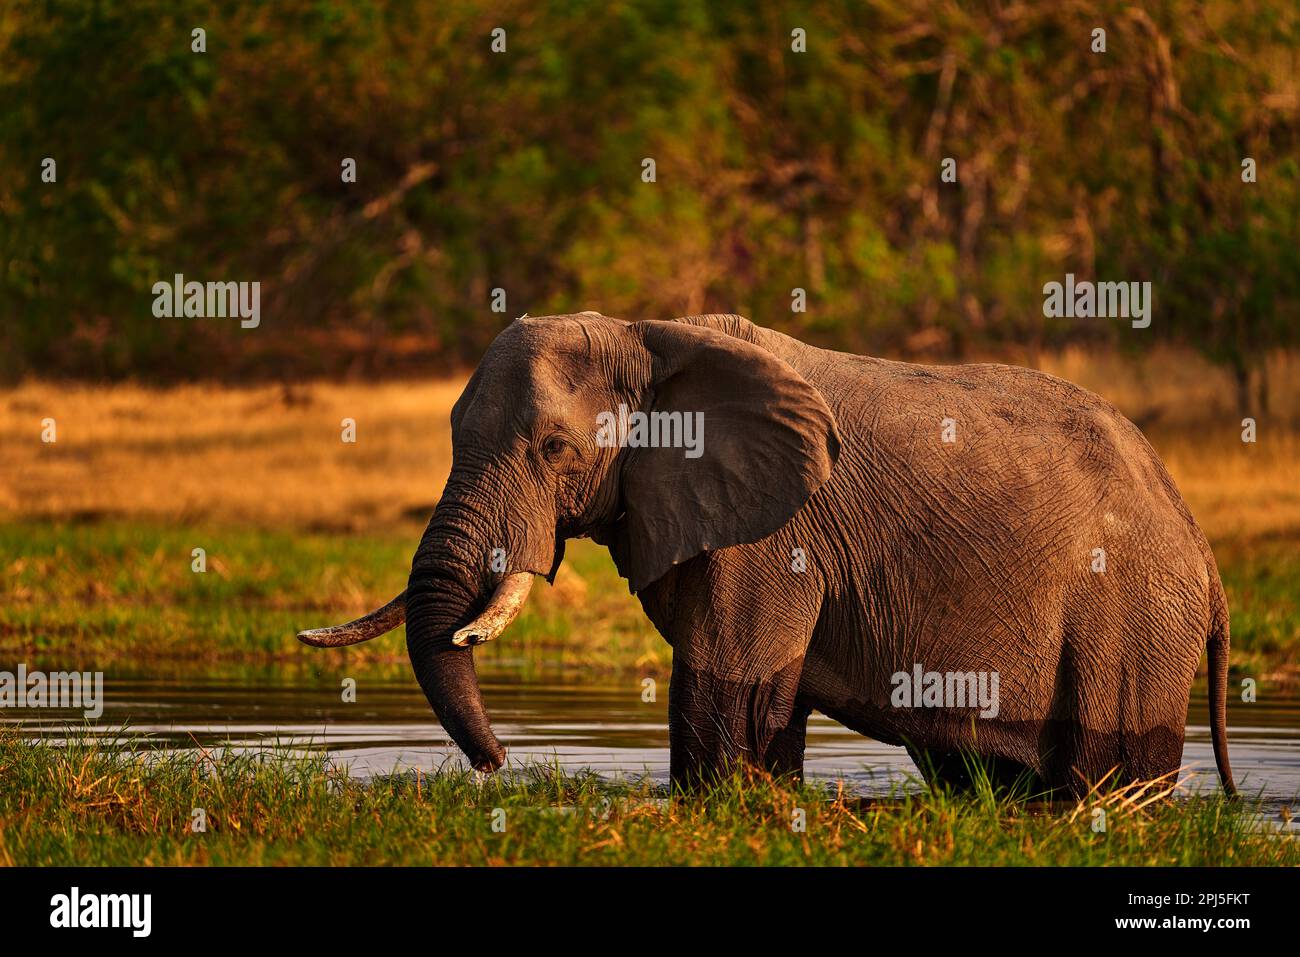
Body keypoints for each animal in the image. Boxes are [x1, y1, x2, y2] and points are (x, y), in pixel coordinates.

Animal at [298, 311, 1235, 798]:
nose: (497, 765)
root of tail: (1204, 548)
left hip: (1134, 616)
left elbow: (730, 684)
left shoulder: (775, 539)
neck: (648, 336)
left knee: (1111, 763)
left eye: (556, 449)